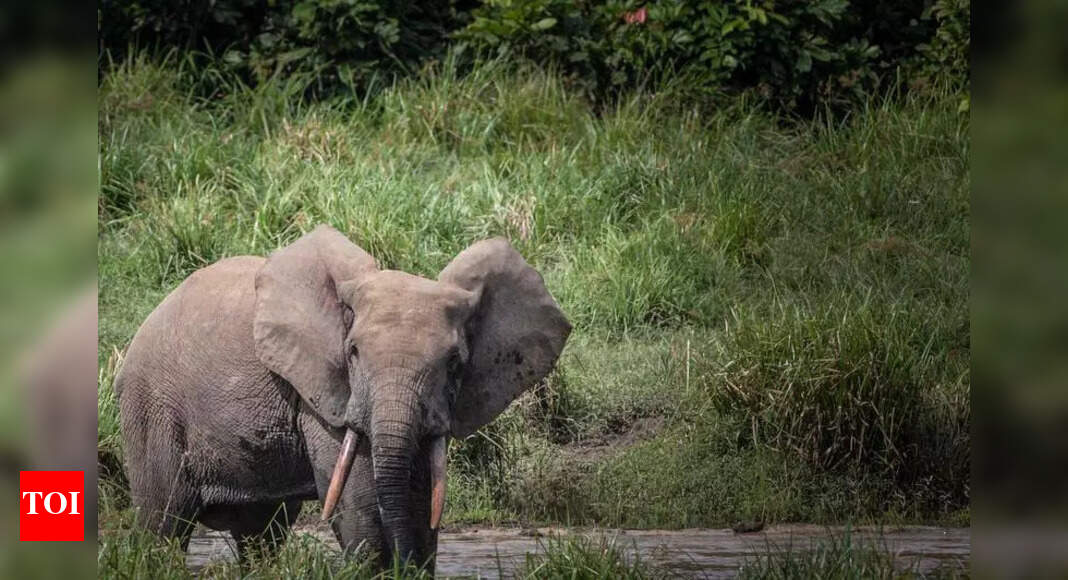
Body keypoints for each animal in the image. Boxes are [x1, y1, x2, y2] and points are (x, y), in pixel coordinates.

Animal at [115, 225, 571, 568]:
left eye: (455, 363)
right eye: (352, 352)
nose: (403, 566)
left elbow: (421, 497)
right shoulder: (323, 395)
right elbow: (359, 501)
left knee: (261, 534)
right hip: (150, 405)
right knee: (164, 524)